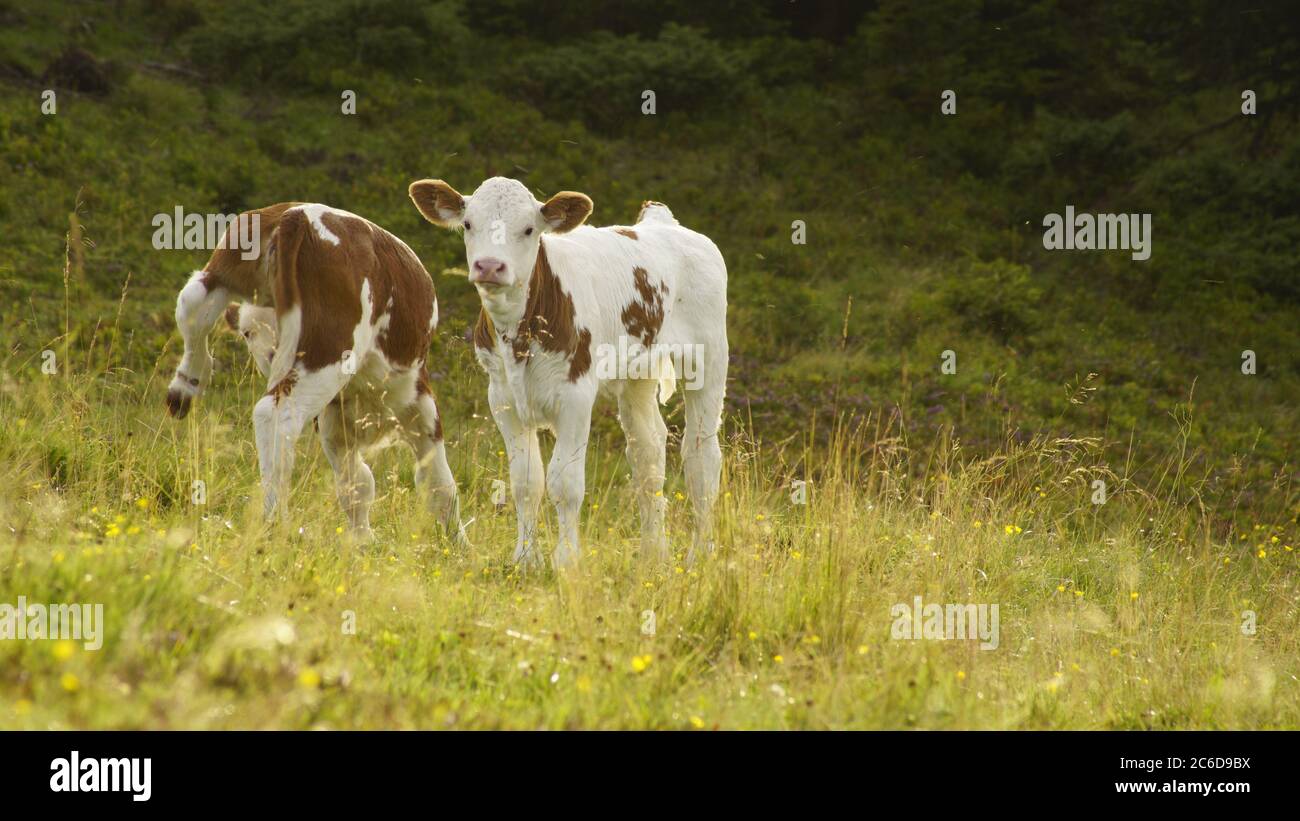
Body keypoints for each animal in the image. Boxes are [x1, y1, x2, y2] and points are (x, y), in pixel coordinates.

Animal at [164, 202, 465, 542]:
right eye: (247, 334)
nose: (273, 352)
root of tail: (297, 215)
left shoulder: (335, 422)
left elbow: (357, 484)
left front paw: (362, 541)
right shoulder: (419, 403)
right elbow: (439, 484)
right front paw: (459, 546)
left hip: (227, 271)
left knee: (192, 303)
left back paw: (184, 388)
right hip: (329, 351)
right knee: (275, 414)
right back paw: (275, 520)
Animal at [408, 177, 727, 569]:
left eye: (529, 229)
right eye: (468, 224)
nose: (490, 266)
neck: (518, 334)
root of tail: (664, 224)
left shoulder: (575, 395)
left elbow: (565, 482)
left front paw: (566, 560)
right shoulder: (502, 398)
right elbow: (526, 482)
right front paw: (526, 558)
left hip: (708, 358)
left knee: (702, 458)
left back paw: (701, 554)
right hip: (637, 374)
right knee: (648, 454)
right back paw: (653, 553)